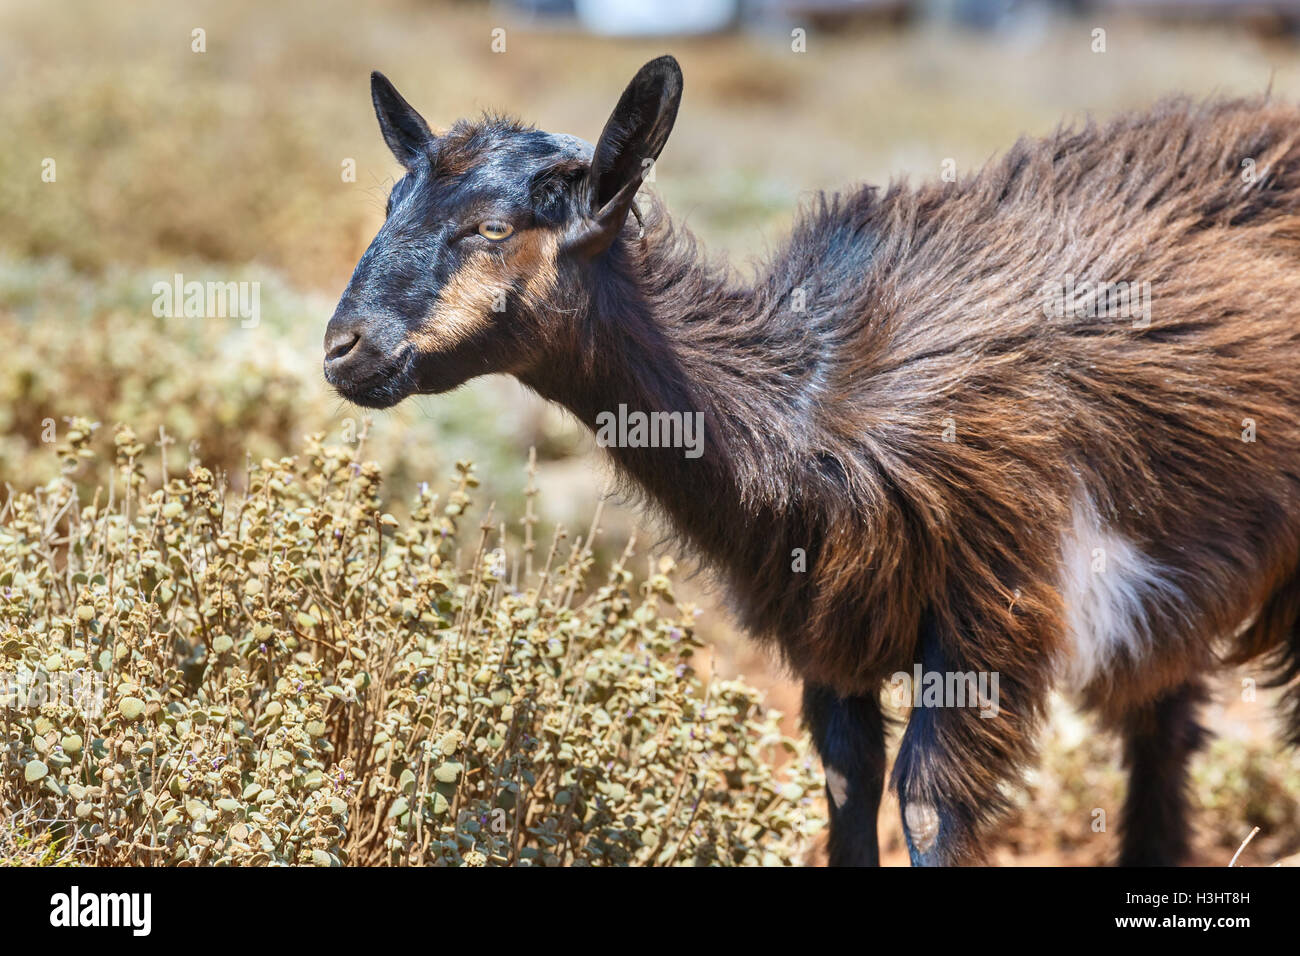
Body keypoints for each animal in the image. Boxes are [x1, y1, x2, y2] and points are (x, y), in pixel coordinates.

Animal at [324, 55, 1300, 866]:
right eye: (389, 206)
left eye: (492, 228)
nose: (343, 350)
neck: (808, 402)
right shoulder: (828, 623)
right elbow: (846, 785)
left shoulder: (993, 606)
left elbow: (926, 806)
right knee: (1164, 725)